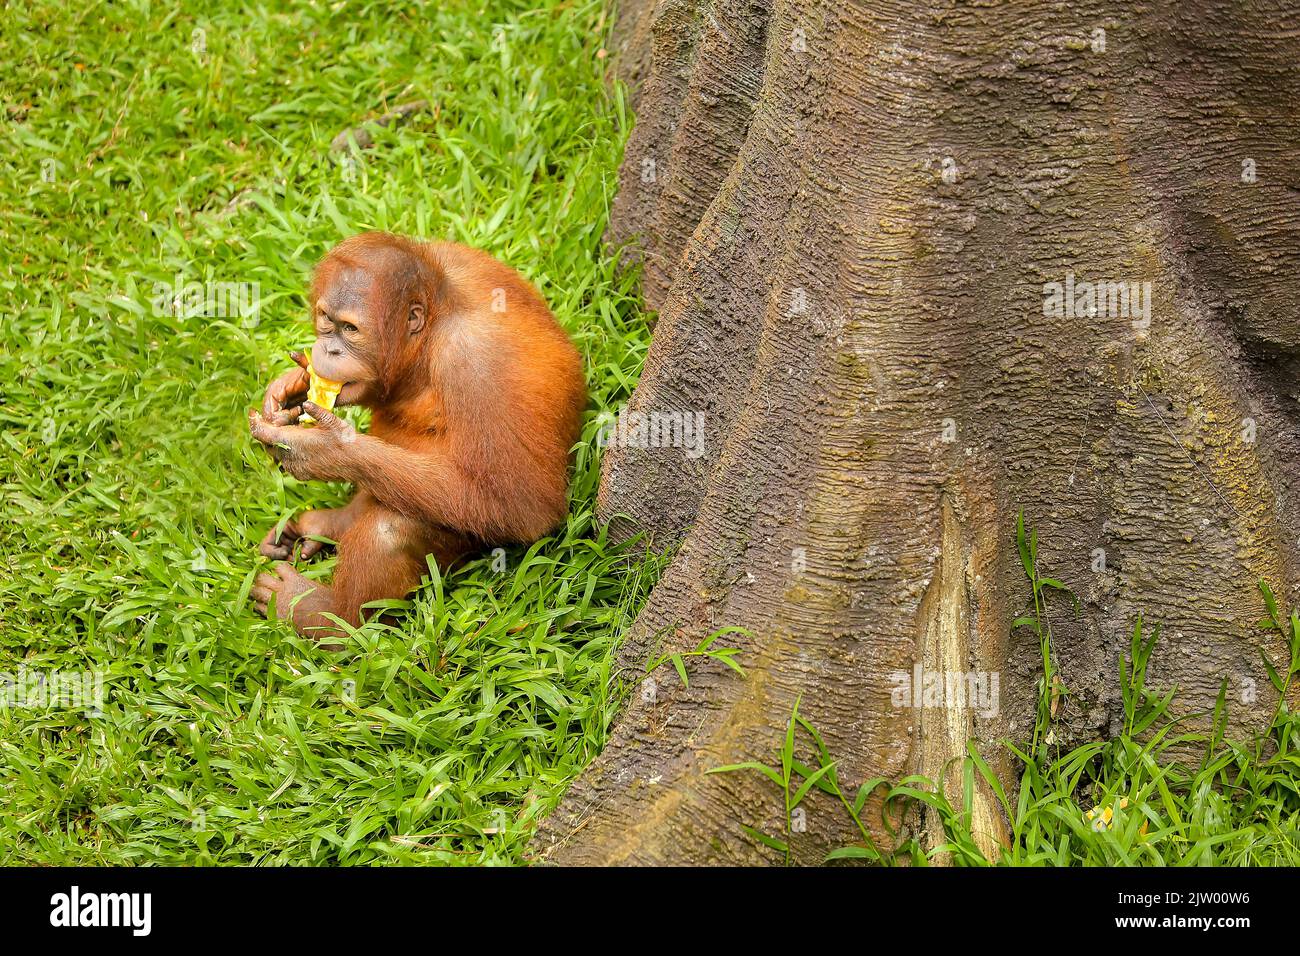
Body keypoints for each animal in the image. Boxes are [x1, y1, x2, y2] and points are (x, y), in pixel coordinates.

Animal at [247, 232, 586, 641]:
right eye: (326, 321)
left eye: (350, 329)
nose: (328, 348)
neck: (432, 330)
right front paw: (287, 388)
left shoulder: (475, 360)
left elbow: (522, 504)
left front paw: (321, 451)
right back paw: (332, 524)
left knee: (390, 531)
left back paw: (327, 620)